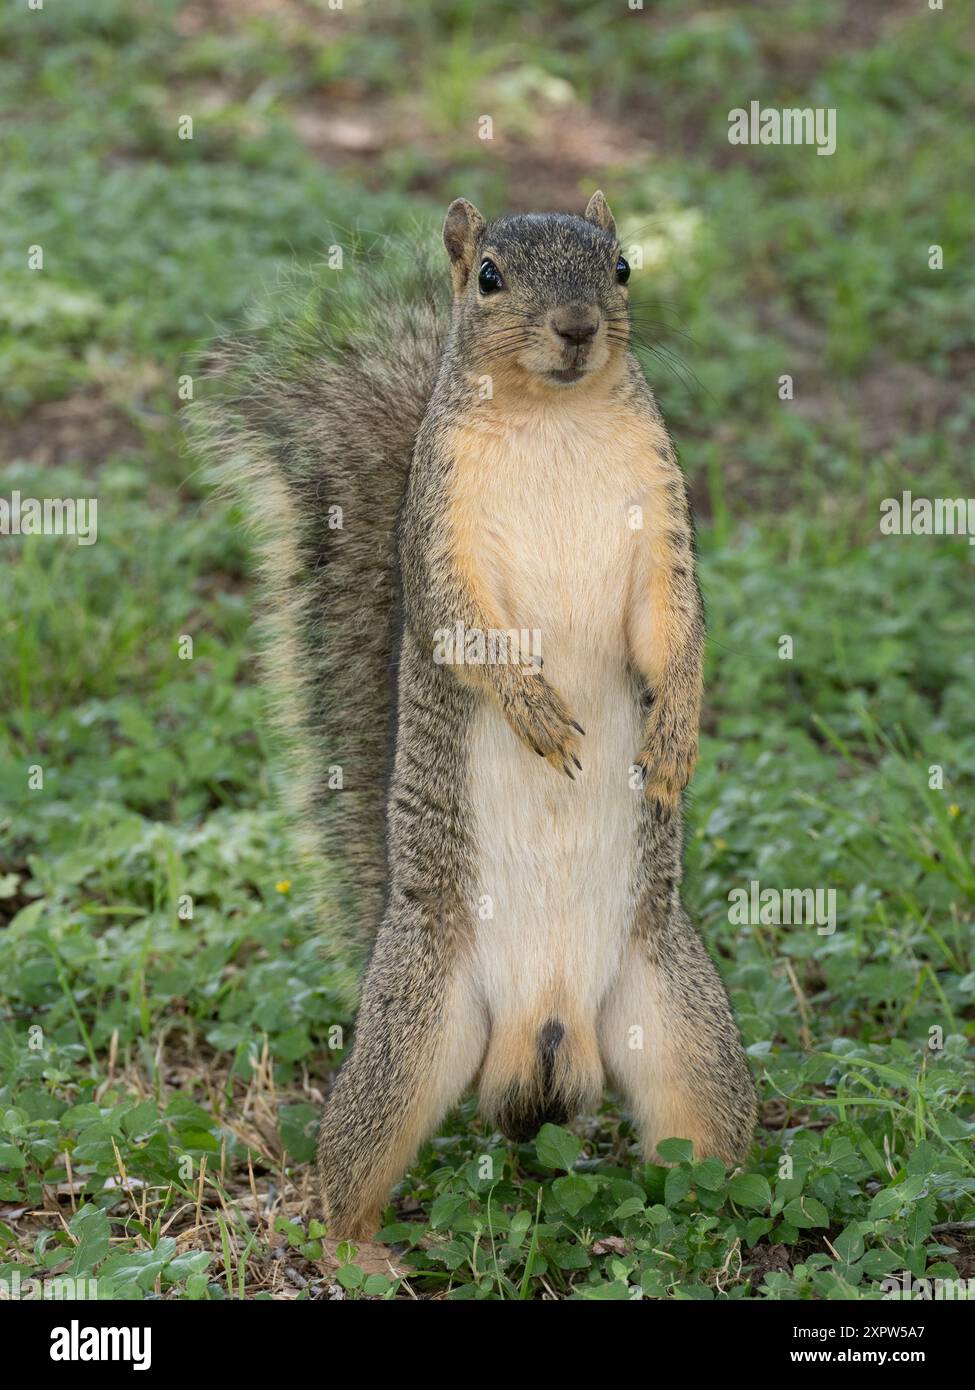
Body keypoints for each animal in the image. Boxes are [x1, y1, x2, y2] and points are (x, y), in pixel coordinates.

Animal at [201, 192, 757, 1240]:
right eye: (490, 277)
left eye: (621, 266)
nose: (577, 327)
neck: (553, 418)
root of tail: (545, 1036)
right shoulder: (439, 531)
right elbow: (463, 630)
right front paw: (535, 710)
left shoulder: (661, 522)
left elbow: (673, 628)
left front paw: (675, 733)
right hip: (416, 1028)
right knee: (352, 1171)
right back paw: (360, 1252)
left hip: (678, 1020)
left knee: (708, 1146)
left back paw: (704, 1225)